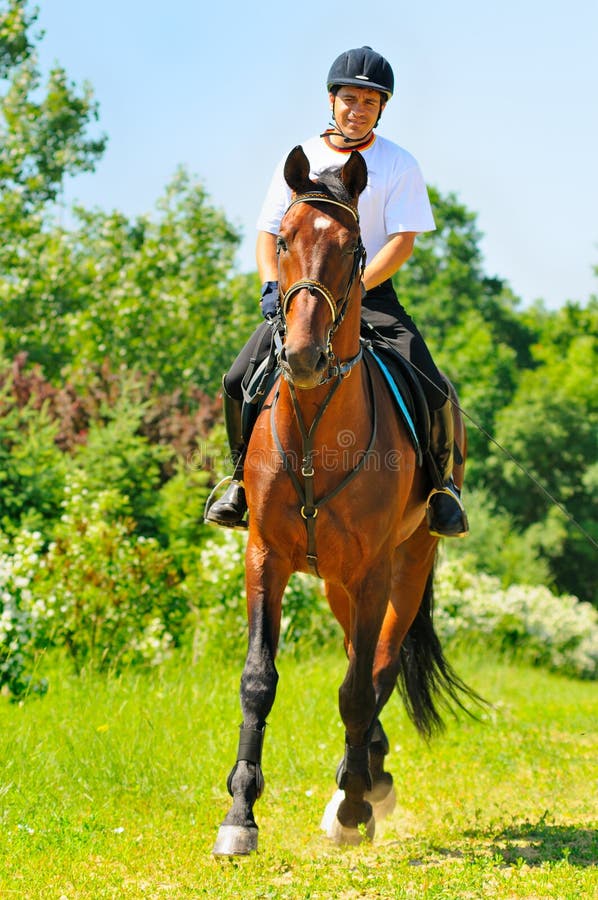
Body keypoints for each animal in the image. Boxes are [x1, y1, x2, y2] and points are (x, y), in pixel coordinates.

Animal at [212, 145, 477, 856]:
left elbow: (359, 689)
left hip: (404, 568)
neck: (315, 427)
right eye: (283, 239)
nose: (302, 357)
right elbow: (258, 680)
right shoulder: (265, 557)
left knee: (377, 667)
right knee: (363, 662)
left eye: (354, 247)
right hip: (335, 581)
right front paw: (240, 815)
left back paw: (362, 785)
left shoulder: (373, 570)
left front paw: (355, 806)